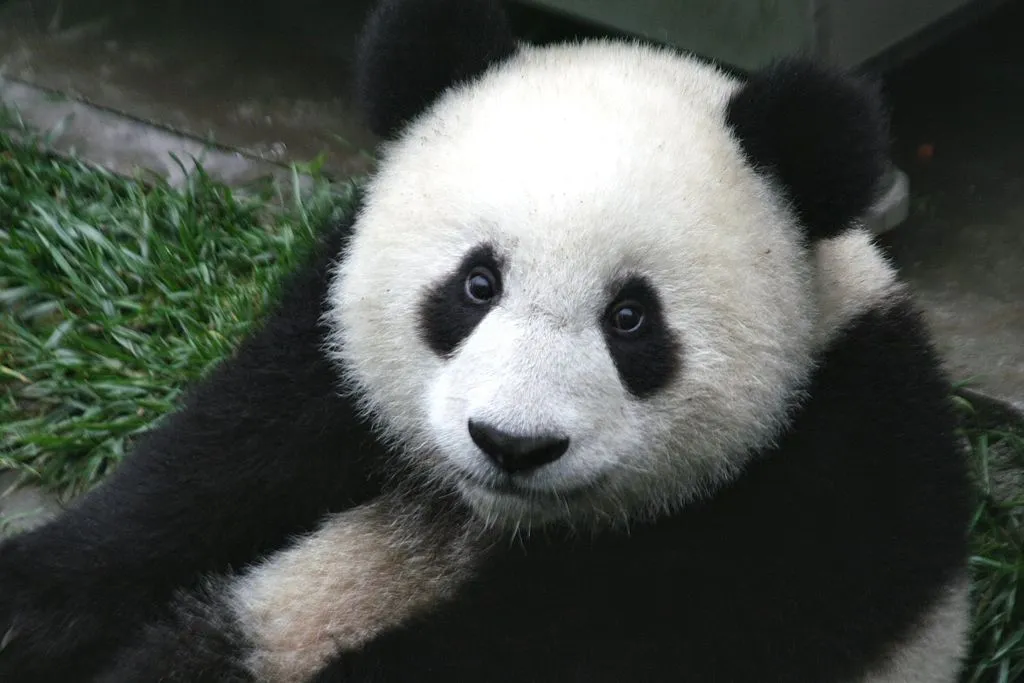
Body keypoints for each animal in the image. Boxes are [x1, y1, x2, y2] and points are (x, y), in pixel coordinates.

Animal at [0, 0, 972, 681]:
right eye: (476, 285)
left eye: (631, 319)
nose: (513, 443)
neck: (494, 518)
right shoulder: (326, 351)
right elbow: (210, 467)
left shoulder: (826, 484)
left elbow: (583, 642)